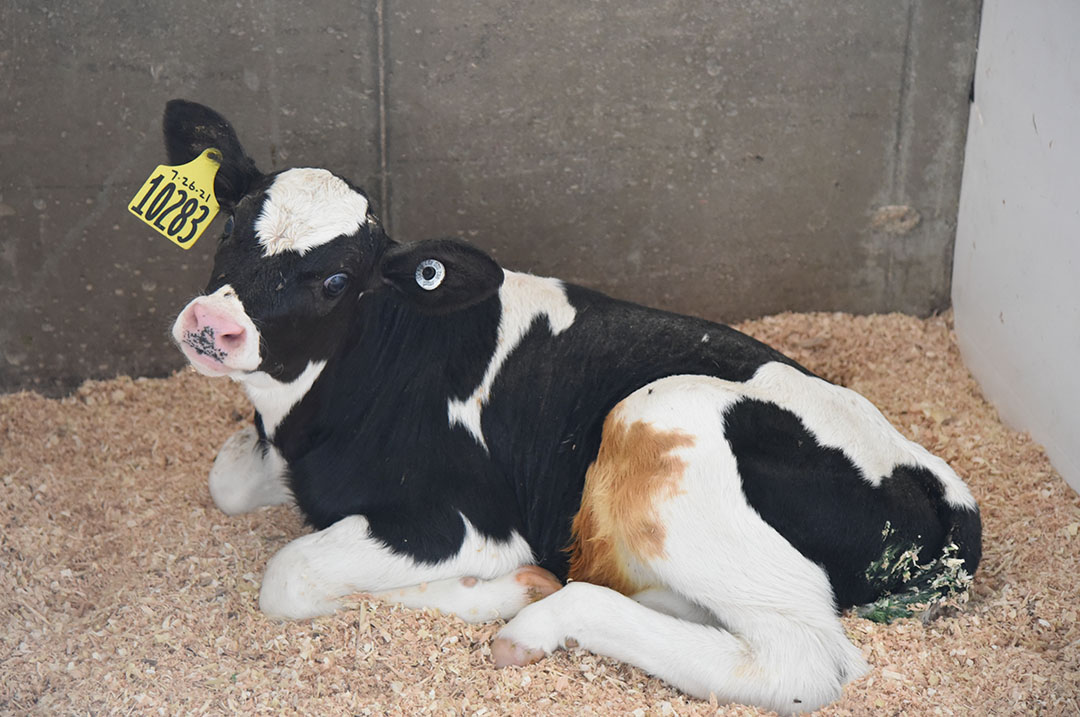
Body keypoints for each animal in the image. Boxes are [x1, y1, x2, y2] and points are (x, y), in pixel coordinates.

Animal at [165, 99, 981, 714]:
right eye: (230, 224)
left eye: (336, 280)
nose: (212, 324)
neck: (318, 417)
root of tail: (941, 496)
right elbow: (225, 481)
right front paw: (241, 456)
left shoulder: (459, 522)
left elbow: (290, 574)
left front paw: (497, 591)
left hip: (662, 417)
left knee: (802, 661)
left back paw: (538, 618)